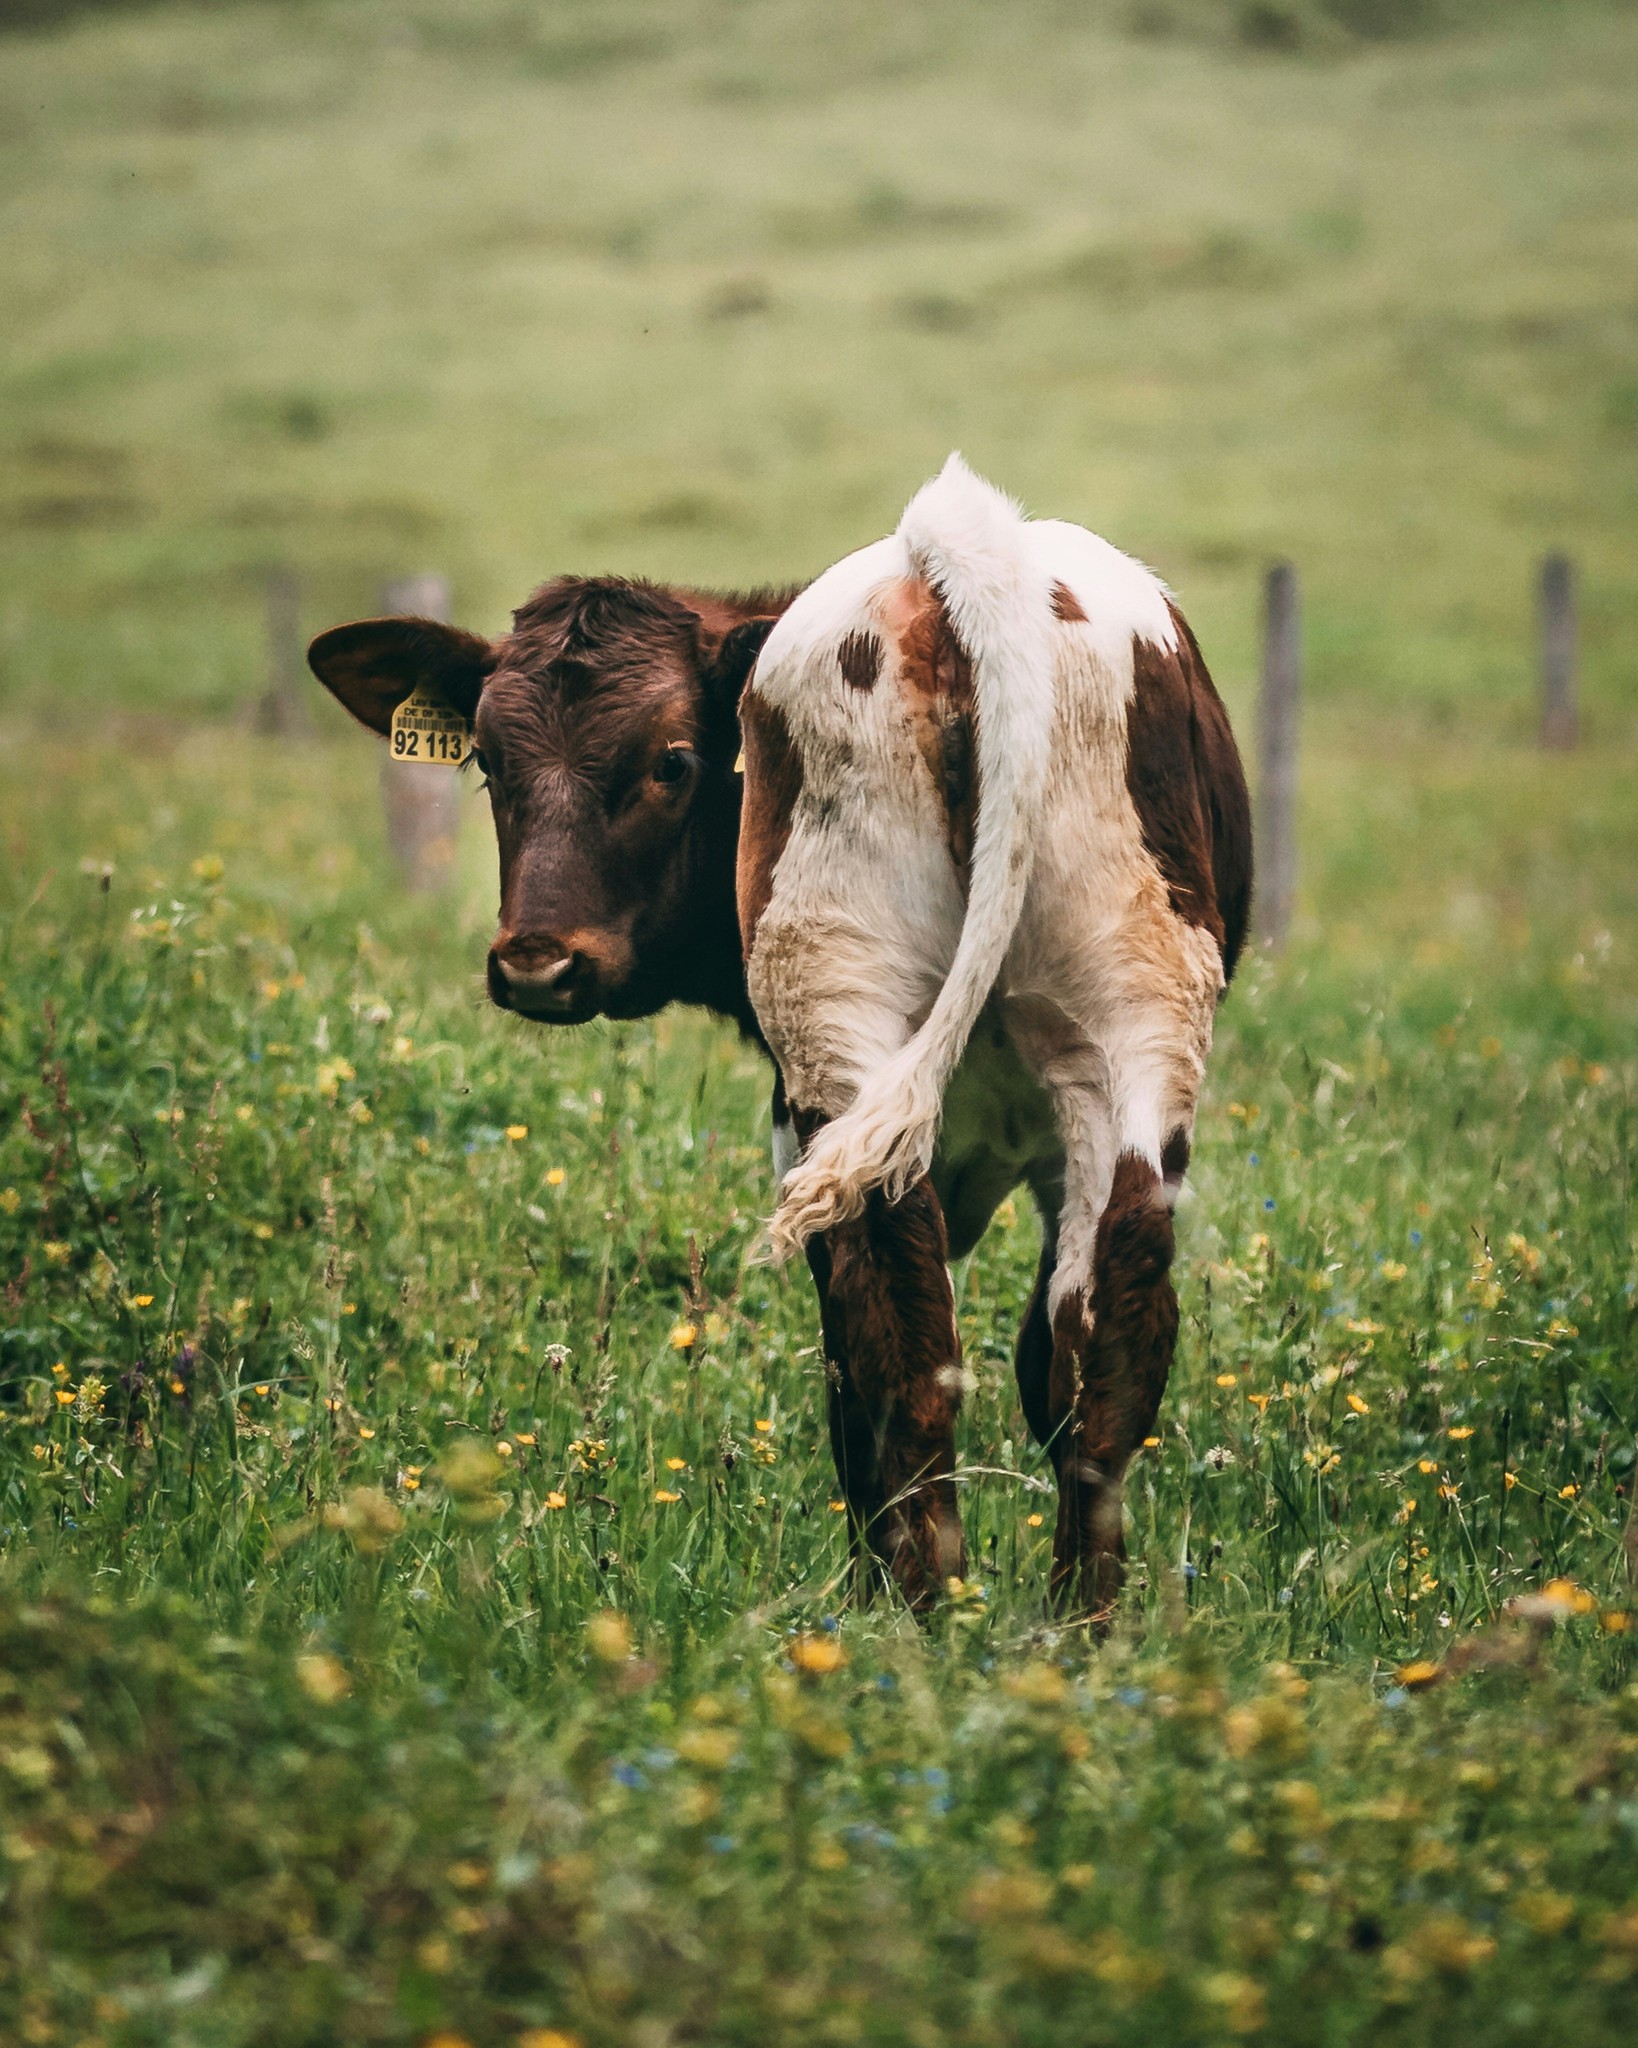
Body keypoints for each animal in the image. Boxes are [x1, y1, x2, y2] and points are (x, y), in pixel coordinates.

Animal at [308, 456, 1250, 1620]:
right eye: (485, 760)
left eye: (672, 762)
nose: (537, 963)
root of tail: (947, 558)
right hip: (1047, 1043)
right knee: (1007, 1346)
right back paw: (1009, 1623)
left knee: (942, 1340)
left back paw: (976, 1623)